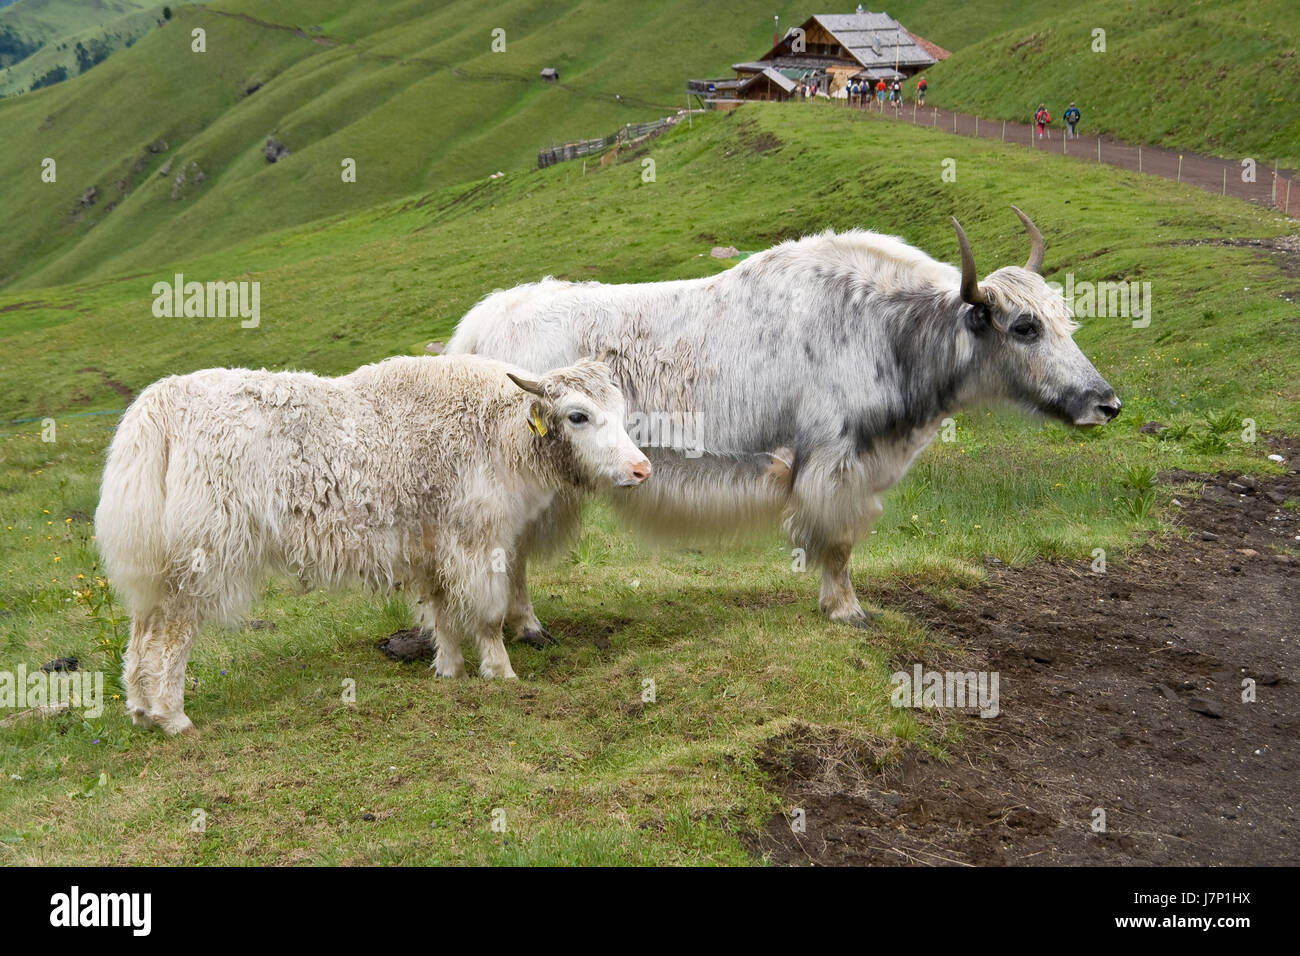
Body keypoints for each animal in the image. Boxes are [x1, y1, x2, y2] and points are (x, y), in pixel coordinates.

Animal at [94, 355, 650, 735]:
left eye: (620, 409)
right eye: (578, 416)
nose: (641, 469)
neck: (498, 430)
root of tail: (160, 406)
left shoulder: (430, 544)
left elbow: (440, 610)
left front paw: (449, 671)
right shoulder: (477, 542)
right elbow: (487, 615)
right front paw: (501, 673)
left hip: (161, 564)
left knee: (142, 628)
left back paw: (140, 709)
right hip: (201, 557)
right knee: (172, 632)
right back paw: (173, 717)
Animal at [446, 208, 1119, 640]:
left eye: (1066, 319)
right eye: (1025, 327)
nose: (1106, 404)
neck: (886, 327)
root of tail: (479, 327)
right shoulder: (835, 458)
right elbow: (838, 541)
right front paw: (848, 611)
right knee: (512, 548)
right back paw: (528, 627)